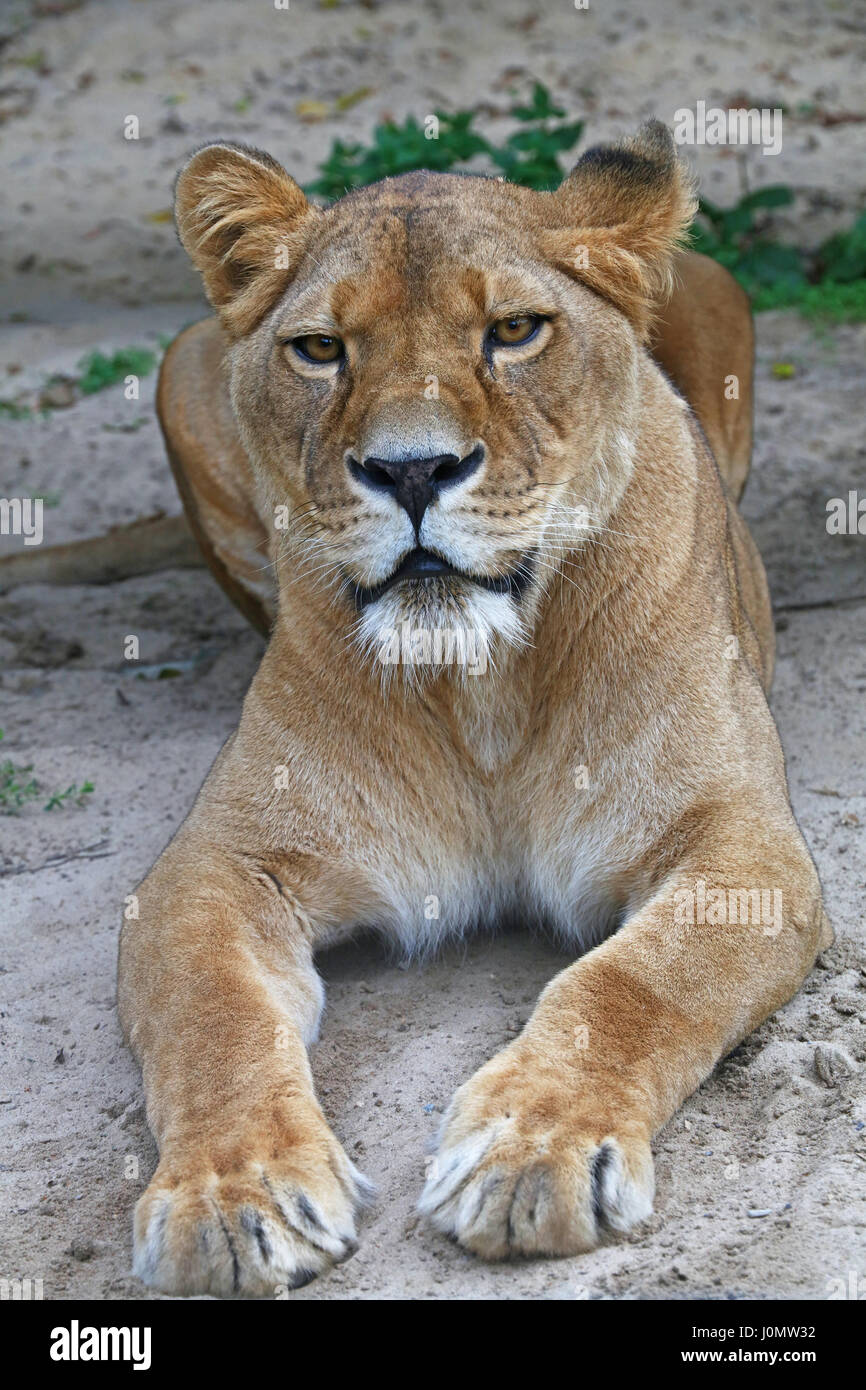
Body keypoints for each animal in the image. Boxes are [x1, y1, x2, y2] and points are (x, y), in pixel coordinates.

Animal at [117, 122, 831, 1296]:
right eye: (319, 349)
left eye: (513, 331)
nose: (413, 470)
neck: (479, 684)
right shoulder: (214, 863)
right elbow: (211, 1014)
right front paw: (233, 1195)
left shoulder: (742, 845)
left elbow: (629, 986)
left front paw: (533, 1152)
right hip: (181, 366)